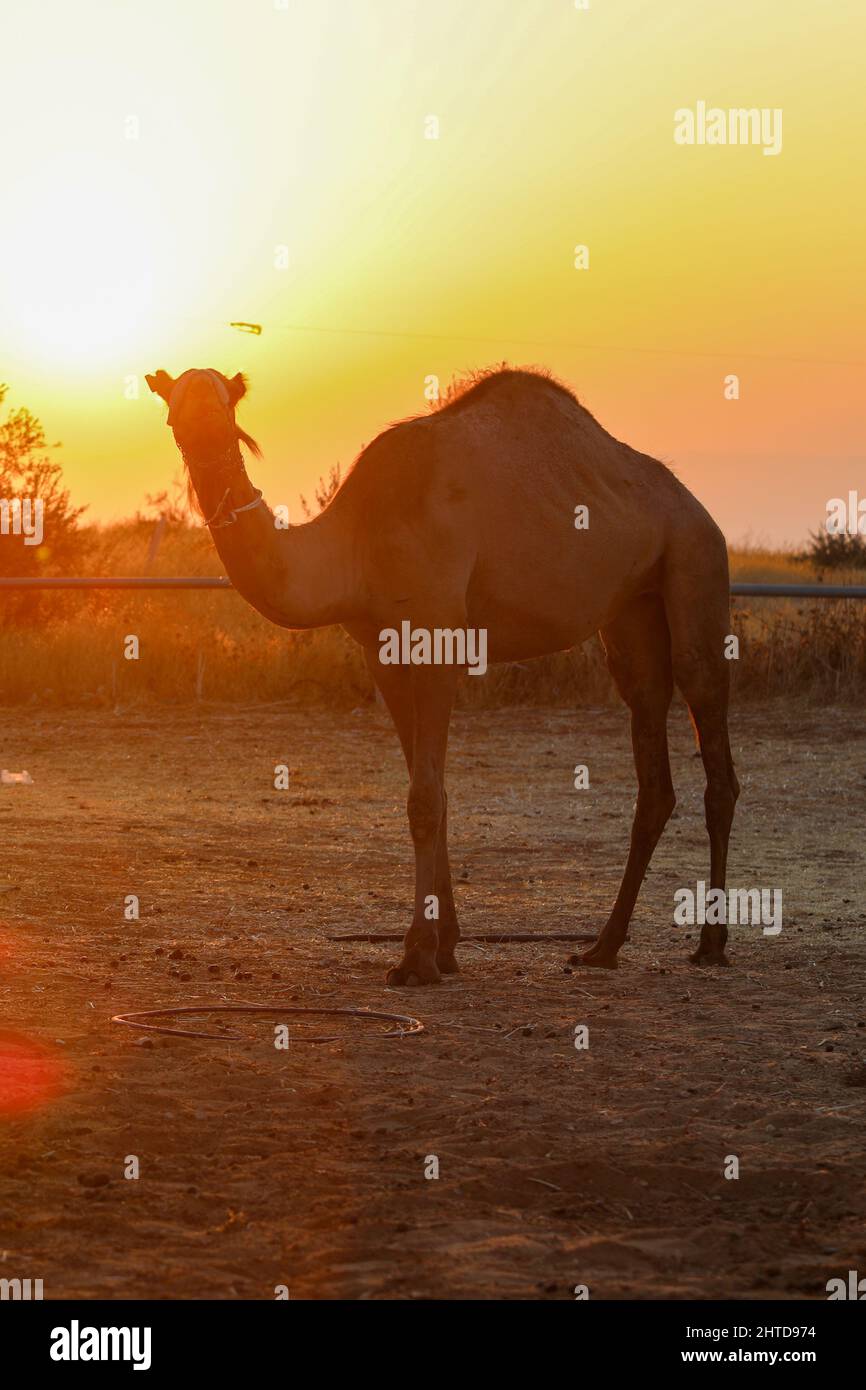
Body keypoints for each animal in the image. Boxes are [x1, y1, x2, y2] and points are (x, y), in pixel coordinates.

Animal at [145, 365, 739, 983]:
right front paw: (446, 946)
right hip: (631, 611)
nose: (203, 440)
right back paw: (603, 946)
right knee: (651, 745)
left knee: (711, 734)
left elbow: (425, 798)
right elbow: (431, 790)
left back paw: (711, 942)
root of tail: (699, 511)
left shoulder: (438, 639)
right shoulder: (381, 652)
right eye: (172, 410)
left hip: (696, 561)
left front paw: (416, 958)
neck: (355, 539)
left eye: (226, 406)